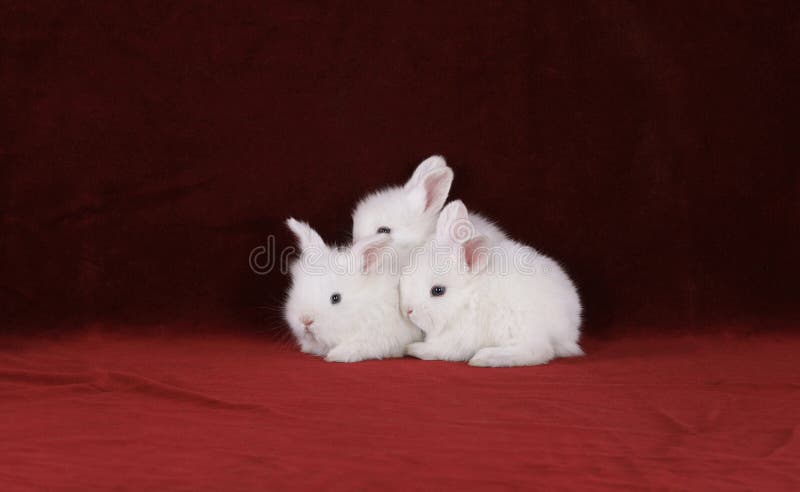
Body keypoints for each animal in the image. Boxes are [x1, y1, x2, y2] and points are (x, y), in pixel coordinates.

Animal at [284, 218, 422, 362]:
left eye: (336, 298)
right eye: (296, 292)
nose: (305, 320)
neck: (364, 306)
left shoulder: (378, 337)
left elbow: (356, 348)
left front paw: (334, 355)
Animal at [399, 200, 583, 367]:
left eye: (438, 290)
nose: (408, 310)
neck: (468, 298)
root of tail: (568, 327)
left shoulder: (461, 336)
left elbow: (443, 350)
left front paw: (414, 348)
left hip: (516, 325)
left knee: (538, 351)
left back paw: (486, 357)